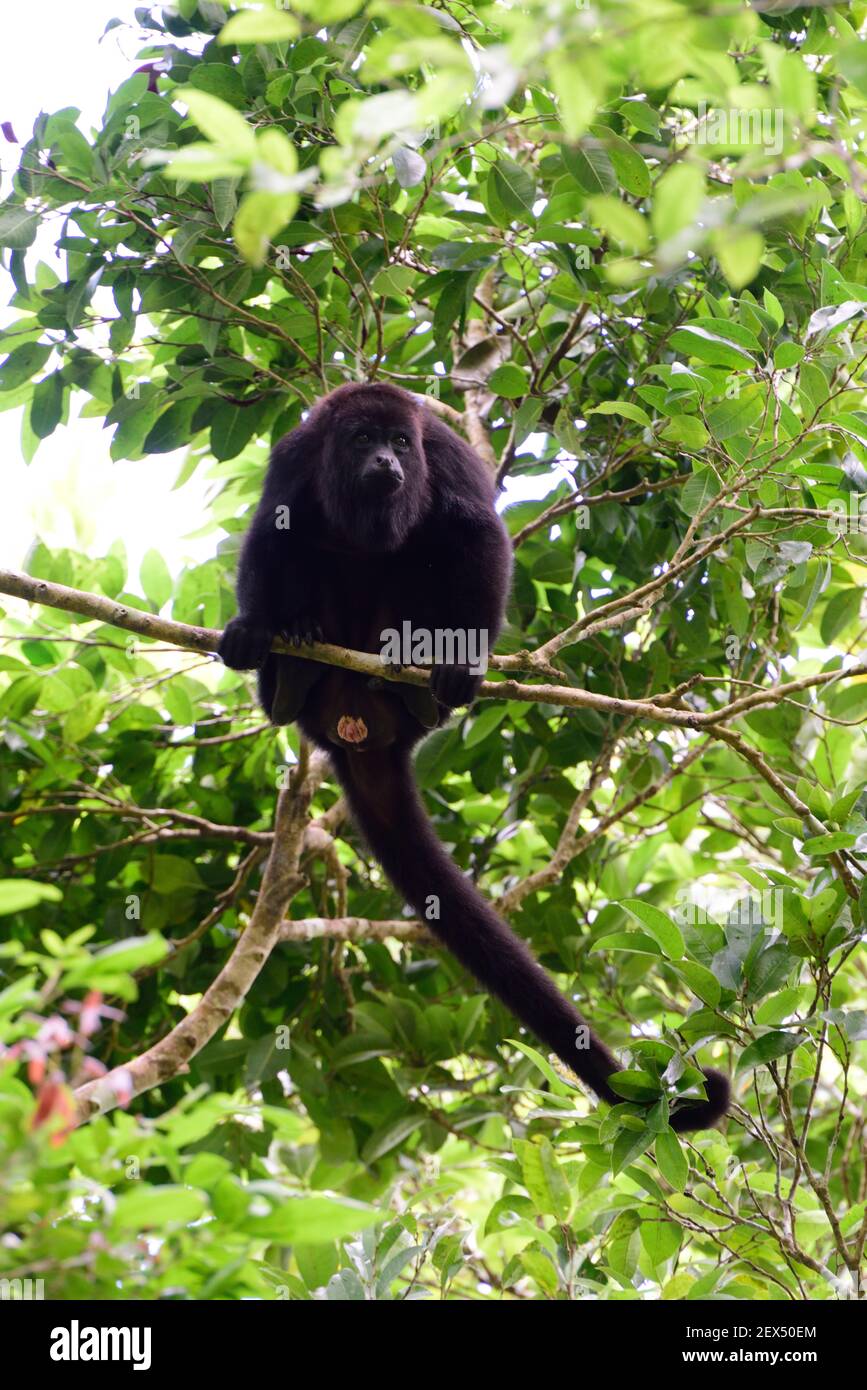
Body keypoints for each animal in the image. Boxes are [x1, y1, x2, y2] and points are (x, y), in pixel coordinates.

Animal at [219, 382, 729, 1133]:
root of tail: (359, 728)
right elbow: (272, 530)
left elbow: (474, 532)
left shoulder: (446, 450)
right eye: (363, 438)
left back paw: (416, 682)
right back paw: (292, 669)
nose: (386, 462)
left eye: (402, 443)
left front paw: (460, 668)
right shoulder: (294, 454)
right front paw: (256, 629)